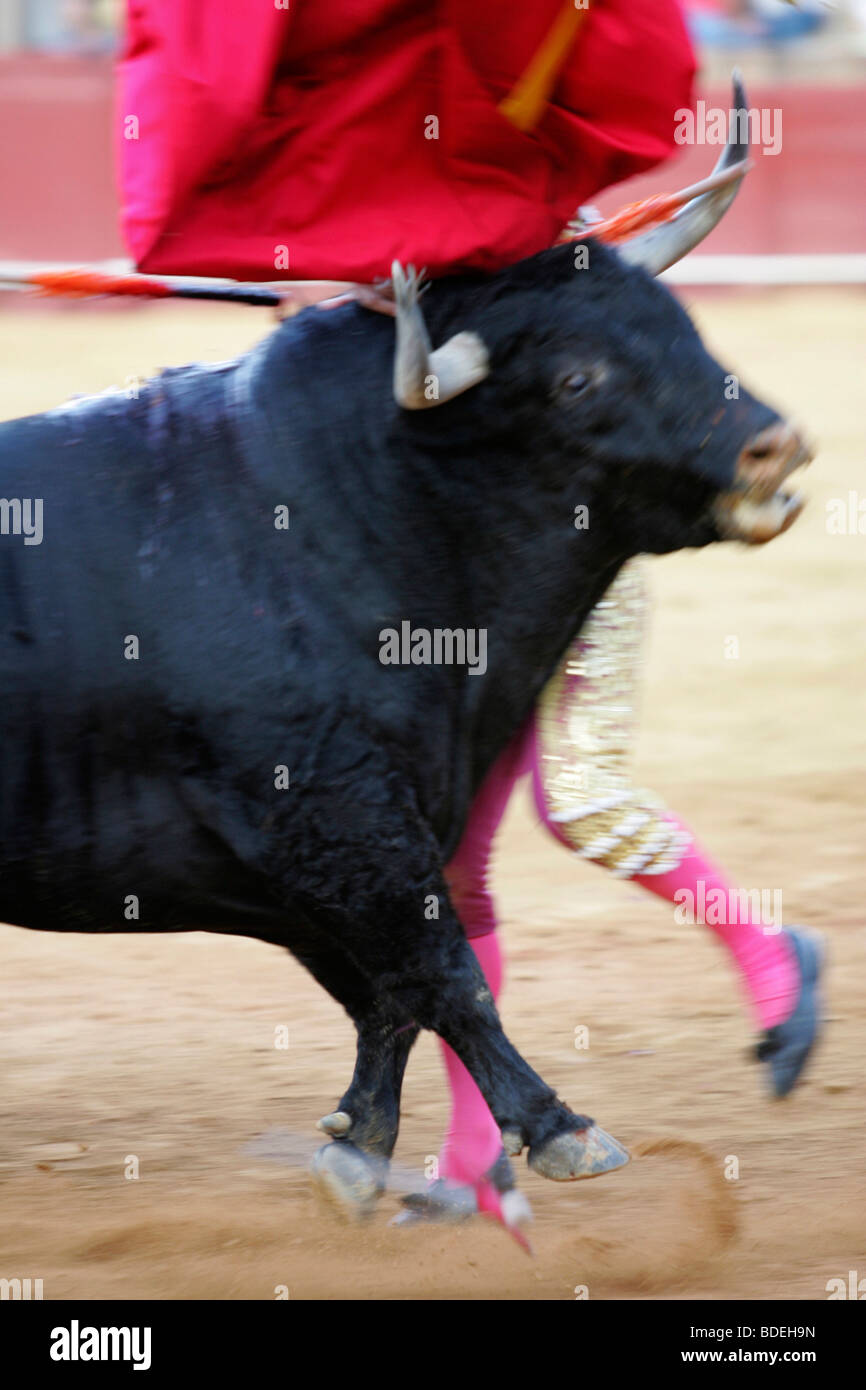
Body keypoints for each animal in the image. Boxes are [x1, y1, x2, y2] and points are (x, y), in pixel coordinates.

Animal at [0, 83, 811, 1215]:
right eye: (576, 379)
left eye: (681, 327)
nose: (775, 449)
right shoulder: (340, 820)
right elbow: (439, 972)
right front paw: (558, 1128)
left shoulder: (367, 833)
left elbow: (391, 989)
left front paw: (359, 1146)